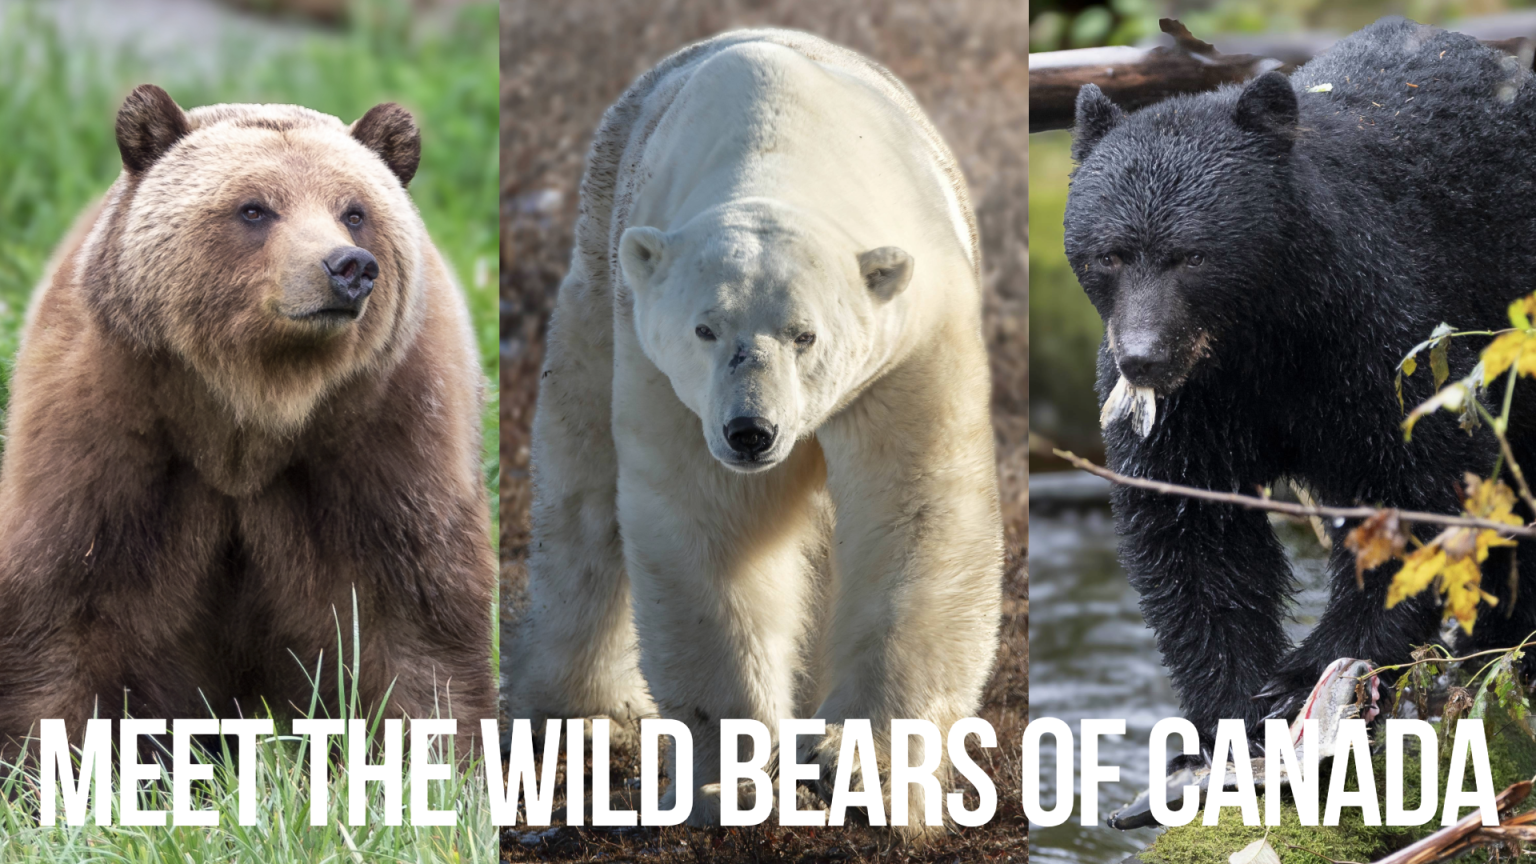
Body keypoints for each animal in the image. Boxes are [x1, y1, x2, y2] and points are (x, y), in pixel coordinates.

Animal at [0, 85, 496, 759]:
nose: (348, 266)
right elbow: (64, 604)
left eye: (355, 210)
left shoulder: (386, 430)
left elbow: (416, 615)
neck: (254, 406)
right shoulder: (109, 422)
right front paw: (45, 760)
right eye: (255, 208)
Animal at [503, 30, 1004, 826]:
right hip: (596, 286)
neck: (782, 145)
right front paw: (729, 785)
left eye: (804, 334)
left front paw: (862, 772)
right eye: (705, 328)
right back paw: (583, 714)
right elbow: (711, 532)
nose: (751, 432)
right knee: (582, 496)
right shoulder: (666, 375)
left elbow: (916, 510)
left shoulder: (909, 342)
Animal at [1063, 16, 1536, 751]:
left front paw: (1304, 676)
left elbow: (1422, 488)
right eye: (1109, 254)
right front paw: (1232, 709)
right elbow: (1192, 530)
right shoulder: (1190, 411)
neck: (1260, 343)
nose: (1144, 357)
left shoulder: (1377, 344)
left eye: (1192, 256)